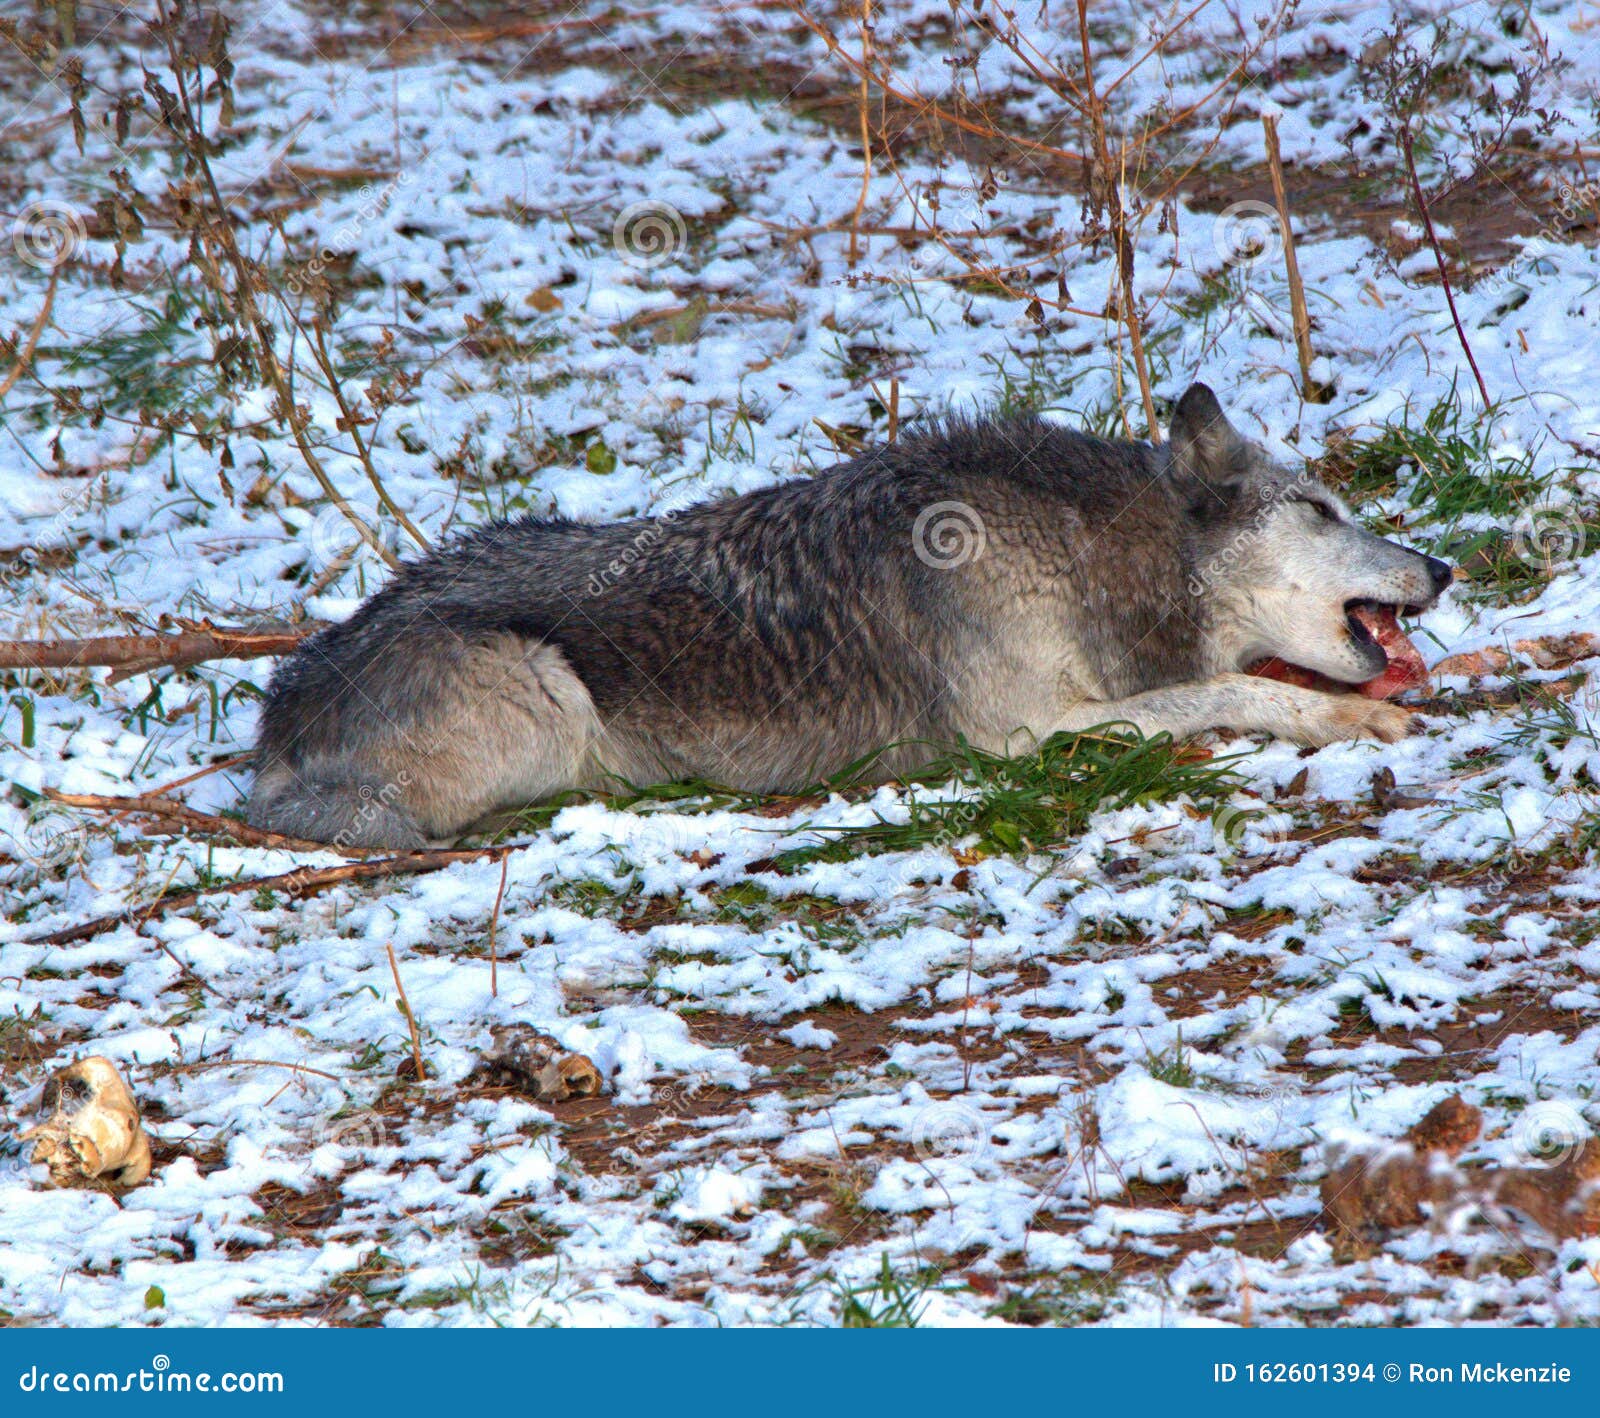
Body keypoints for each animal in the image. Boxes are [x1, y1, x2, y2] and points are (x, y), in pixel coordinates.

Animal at [245, 383, 1452, 848]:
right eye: (1321, 509)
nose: (1441, 566)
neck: (1079, 547)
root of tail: (274, 713)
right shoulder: (1026, 739)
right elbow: (1230, 688)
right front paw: (1353, 722)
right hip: (546, 696)